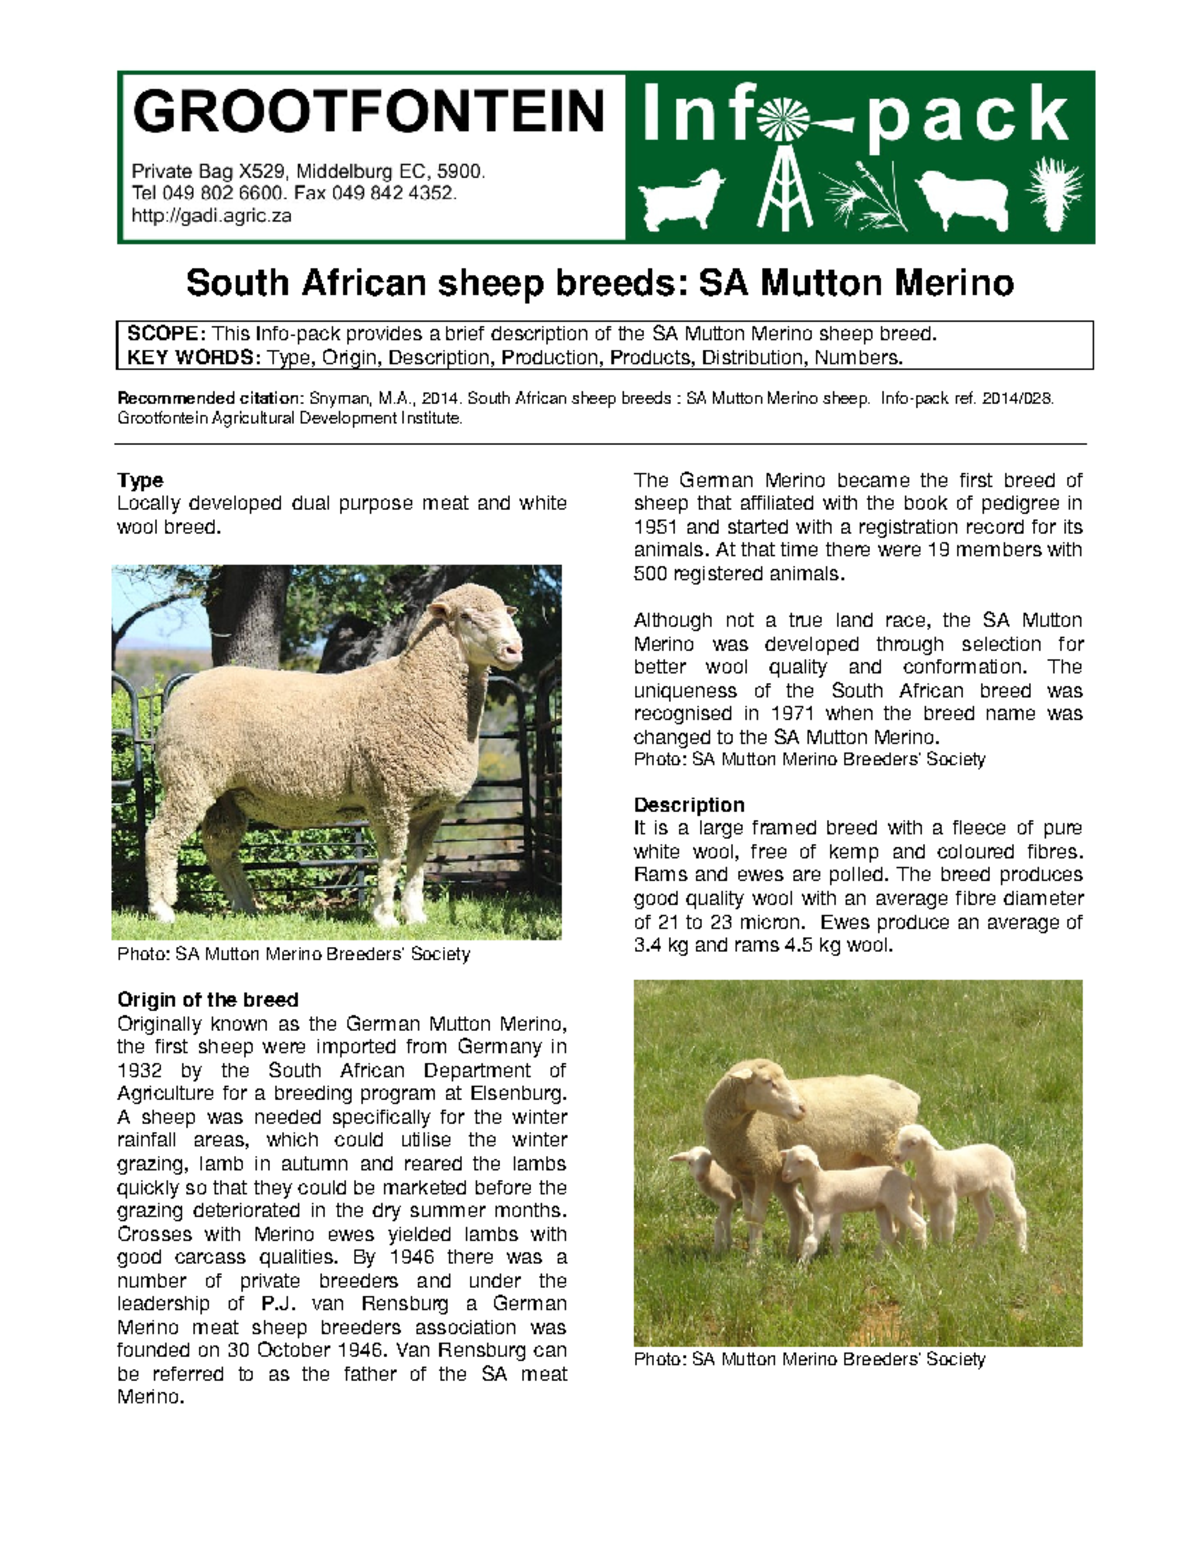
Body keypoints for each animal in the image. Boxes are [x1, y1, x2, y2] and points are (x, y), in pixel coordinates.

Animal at [144, 584, 523, 929]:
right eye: (467, 616)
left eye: (506, 613)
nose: (515, 649)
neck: (415, 689)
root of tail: (181, 693)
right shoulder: (389, 797)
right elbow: (391, 859)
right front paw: (384, 918)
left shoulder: (432, 806)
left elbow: (417, 863)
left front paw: (415, 917)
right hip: (189, 779)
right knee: (160, 838)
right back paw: (163, 910)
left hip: (227, 795)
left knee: (220, 847)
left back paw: (245, 905)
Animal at [779, 1144, 926, 1264]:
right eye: (787, 1159)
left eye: (800, 1161)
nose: (784, 1176)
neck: (819, 1182)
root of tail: (907, 1179)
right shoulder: (835, 1212)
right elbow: (835, 1237)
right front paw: (837, 1260)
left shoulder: (823, 1212)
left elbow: (810, 1242)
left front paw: (801, 1266)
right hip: (882, 1206)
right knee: (888, 1233)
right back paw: (875, 1260)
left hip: (898, 1201)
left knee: (918, 1224)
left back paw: (921, 1253)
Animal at [893, 1124, 1028, 1251]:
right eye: (898, 1139)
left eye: (913, 1142)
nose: (896, 1156)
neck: (934, 1164)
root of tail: (1006, 1157)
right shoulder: (931, 1199)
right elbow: (935, 1224)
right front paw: (936, 1246)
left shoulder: (949, 1195)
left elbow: (946, 1225)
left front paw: (947, 1248)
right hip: (980, 1191)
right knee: (987, 1217)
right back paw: (977, 1247)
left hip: (1003, 1182)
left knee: (1019, 1212)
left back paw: (1021, 1247)